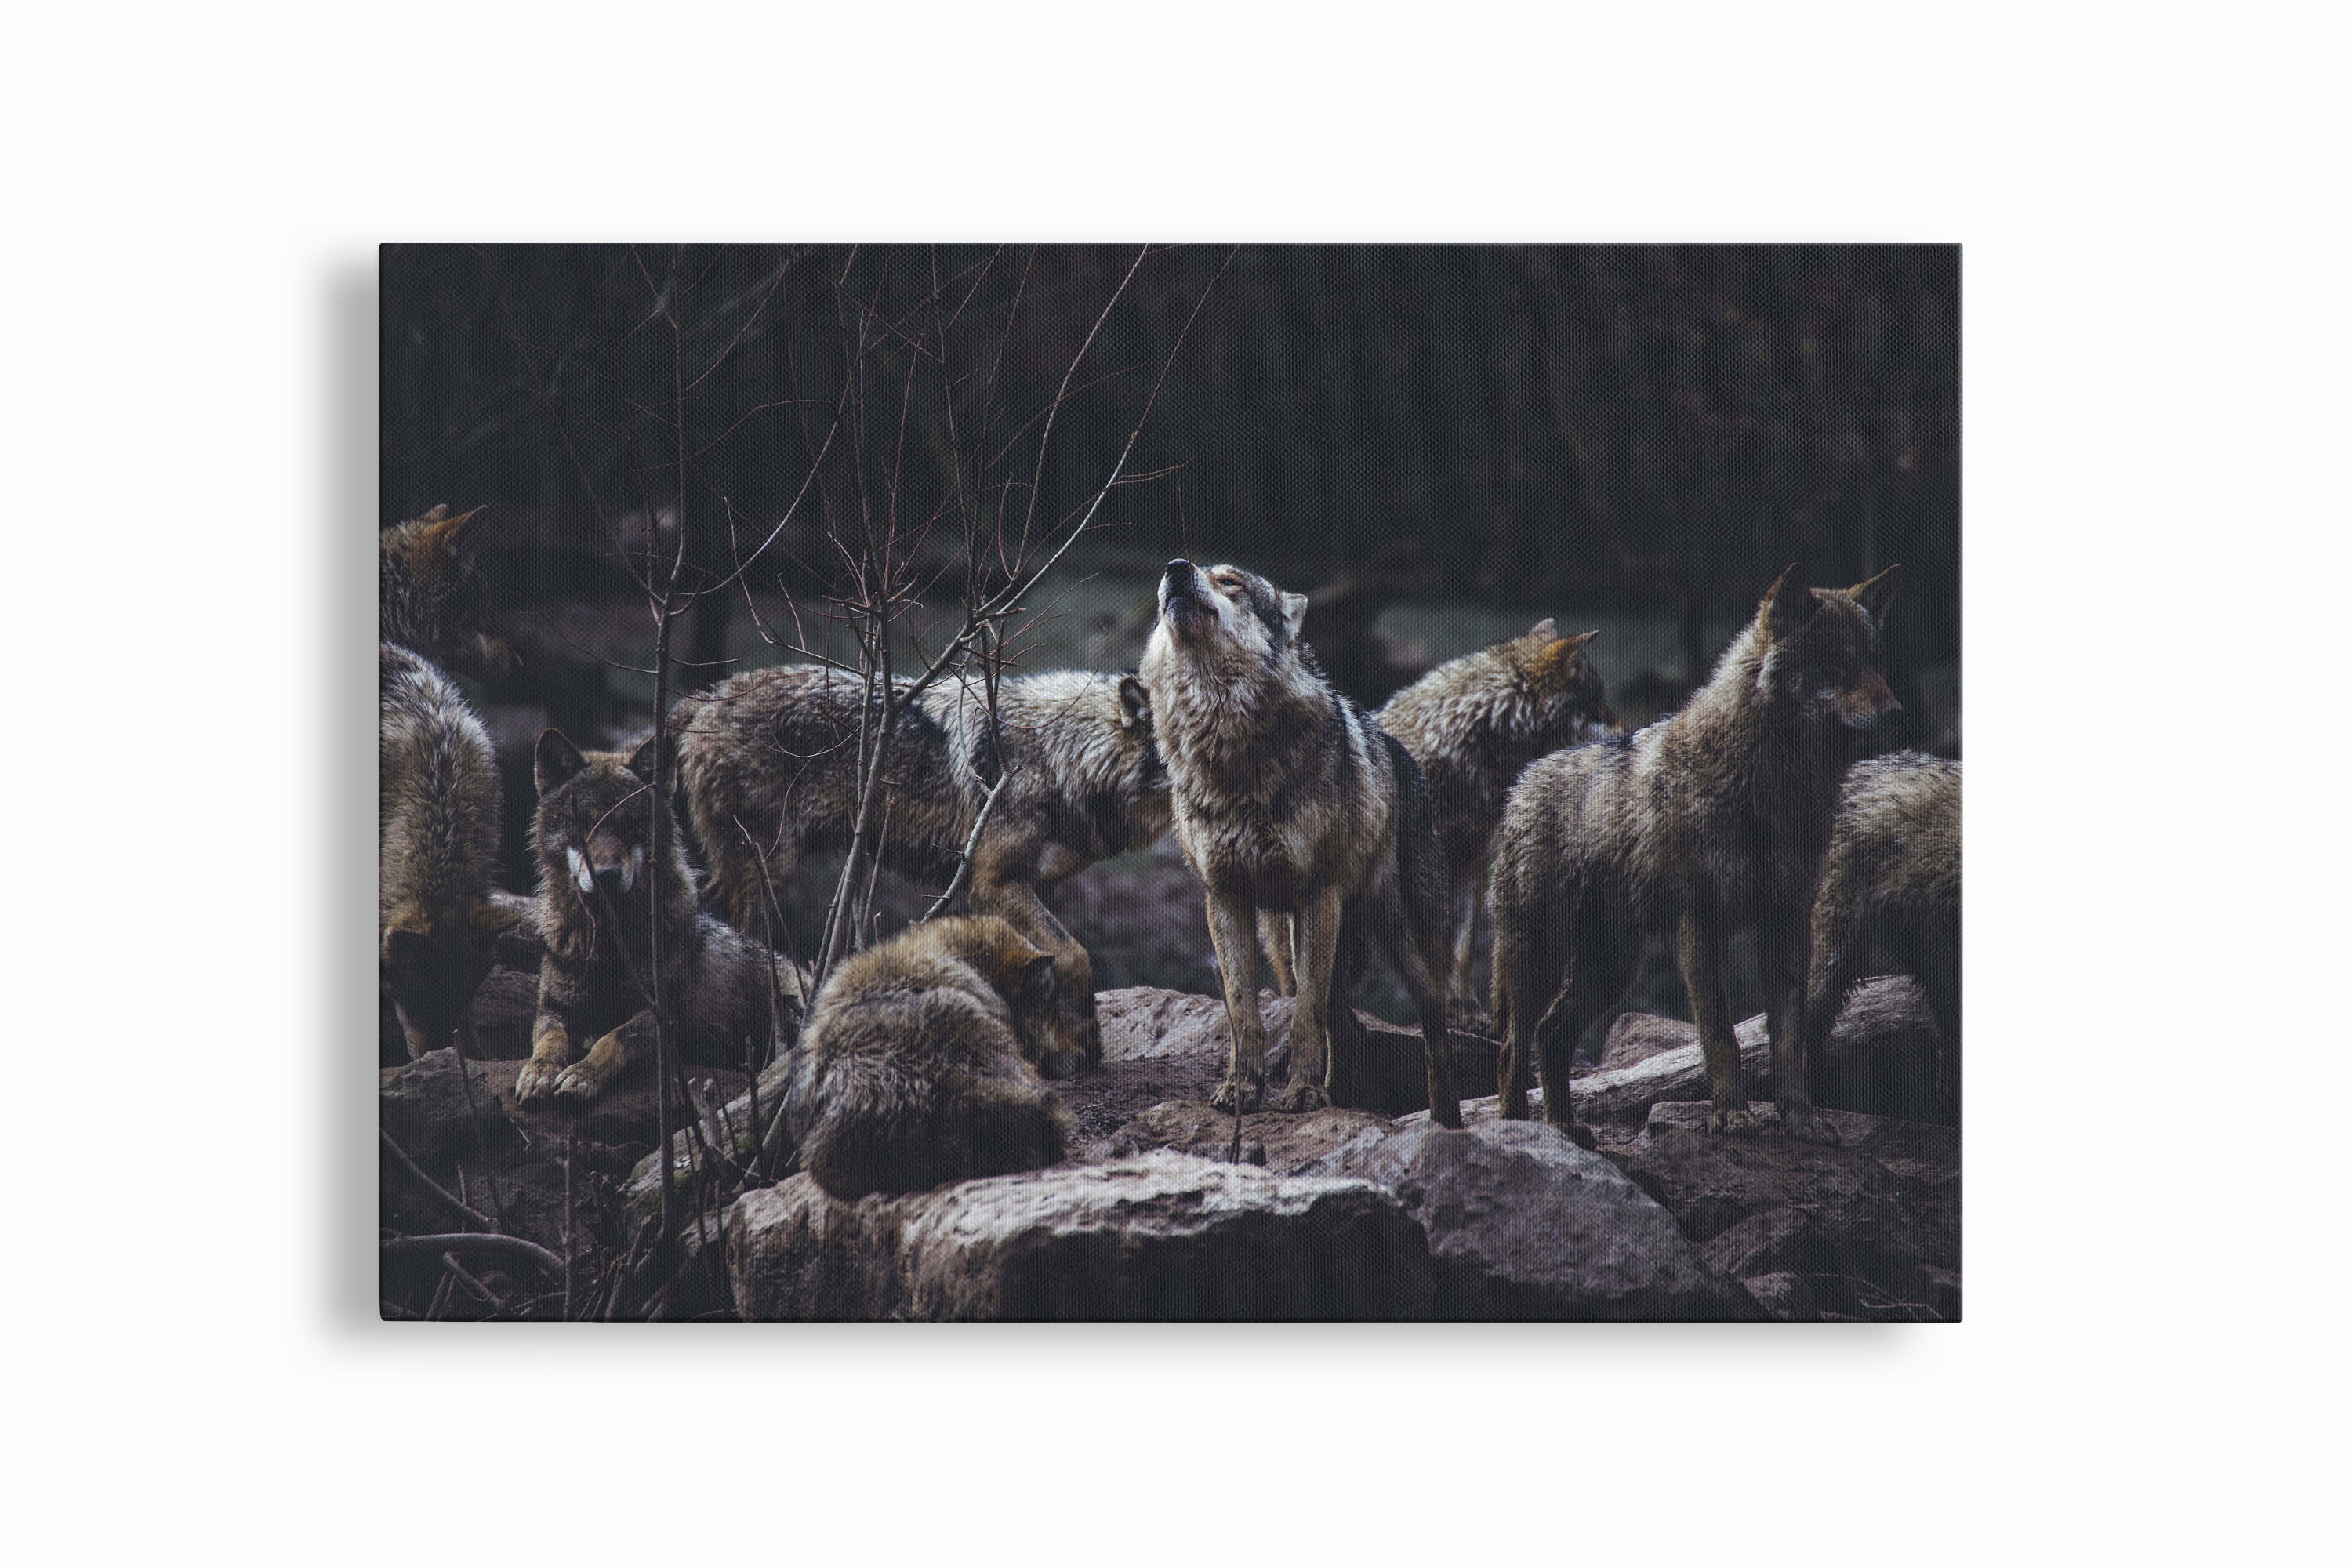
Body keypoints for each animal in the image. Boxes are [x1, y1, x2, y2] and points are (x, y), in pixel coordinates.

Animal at [517, 728, 803, 1108]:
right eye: (584, 823)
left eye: (630, 823)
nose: (606, 876)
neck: (609, 945)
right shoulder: (554, 1008)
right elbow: (550, 1040)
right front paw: (539, 1071)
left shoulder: (662, 1016)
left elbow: (613, 1039)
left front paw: (582, 1074)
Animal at [670, 663, 1169, 1069]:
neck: (1059, 755)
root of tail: (707, 695)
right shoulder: (993, 882)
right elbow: (1074, 953)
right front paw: (1087, 1038)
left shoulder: (1030, 886)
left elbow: (1044, 964)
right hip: (766, 871)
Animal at [1138, 559, 1464, 1127]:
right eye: (1187, 571)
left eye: (1230, 582)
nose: (1176, 569)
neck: (1228, 748)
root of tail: (1402, 753)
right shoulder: (1225, 898)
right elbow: (1243, 1012)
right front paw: (1242, 1090)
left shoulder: (1317, 895)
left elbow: (1304, 1018)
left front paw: (1305, 1094)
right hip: (1287, 946)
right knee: (1347, 1026)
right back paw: (1342, 1097)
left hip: (1410, 953)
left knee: (1434, 1039)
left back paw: (1446, 1126)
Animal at [1490, 564, 1903, 1147]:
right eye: (1840, 663)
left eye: (1876, 662)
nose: (1896, 714)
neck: (1776, 791)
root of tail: (1527, 776)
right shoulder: (1700, 925)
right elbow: (1720, 1036)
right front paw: (1731, 1116)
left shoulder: (1787, 924)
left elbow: (1790, 1039)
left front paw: (1800, 1118)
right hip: (1539, 958)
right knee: (1513, 1043)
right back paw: (1519, 1130)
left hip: (1612, 969)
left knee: (1551, 1035)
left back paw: (1565, 1127)